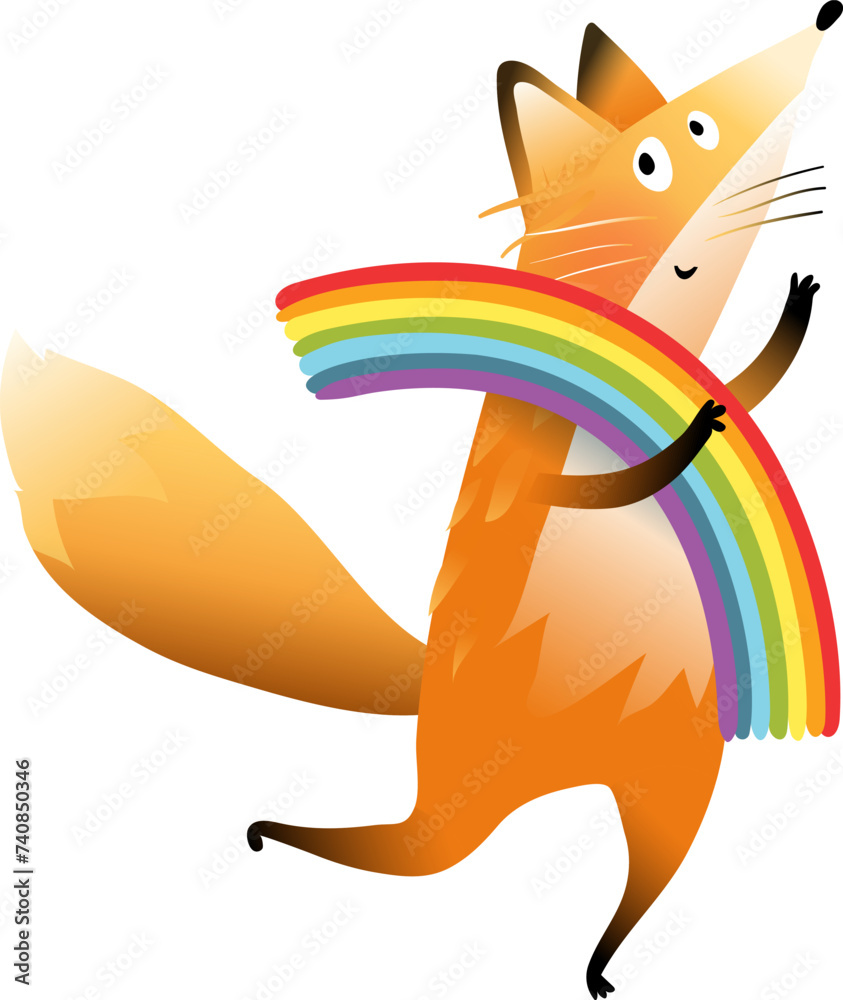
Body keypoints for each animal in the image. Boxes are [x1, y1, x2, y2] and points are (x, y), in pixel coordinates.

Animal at [2, 3, 841, 997]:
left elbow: (751, 384)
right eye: (681, 140)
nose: (821, 23)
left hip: (675, 779)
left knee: (634, 880)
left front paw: (788, 322)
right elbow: (611, 481)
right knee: (415, 854)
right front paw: (688, 438)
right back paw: (289, 835)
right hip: (474, 803)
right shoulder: (540, 464)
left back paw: (600, 961)